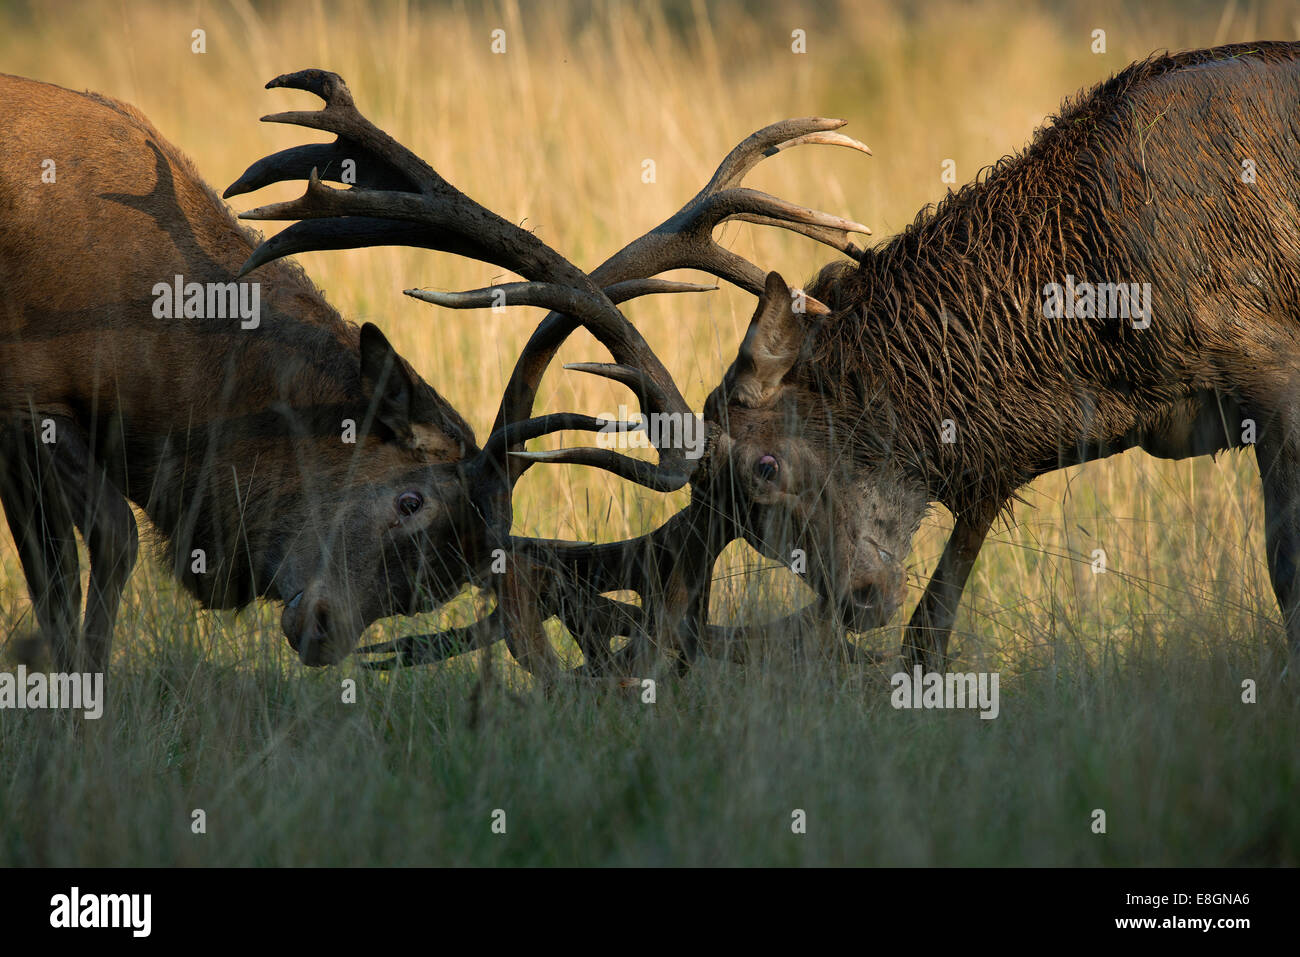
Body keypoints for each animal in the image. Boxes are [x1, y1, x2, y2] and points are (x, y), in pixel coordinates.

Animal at [0, 69, 864, 677]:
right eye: (408, 499)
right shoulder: (26, 391)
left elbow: (57, 568)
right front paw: (78, 701)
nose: (321, 629)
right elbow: (98, 549)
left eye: (435, 586)